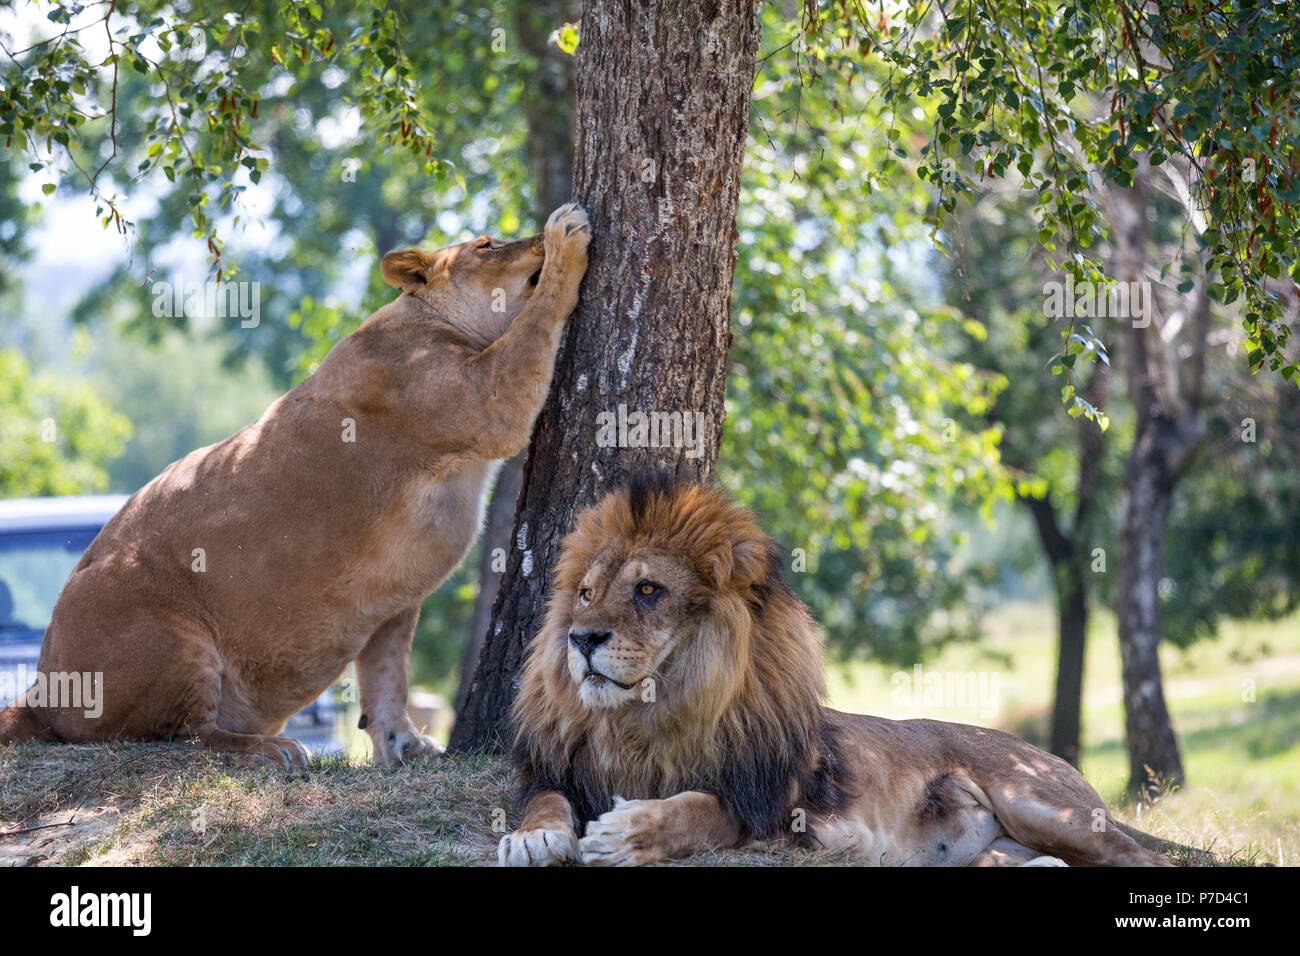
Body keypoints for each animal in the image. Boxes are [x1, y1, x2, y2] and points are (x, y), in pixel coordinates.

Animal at [0, 204, 591, 767]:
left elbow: (387, 675)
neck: (431, 321)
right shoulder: (480, 399)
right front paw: (565, 235)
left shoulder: (393, 597)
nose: (532, 237)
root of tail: (40, 692)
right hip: (170, 635)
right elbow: (537, 322)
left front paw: (402, 744)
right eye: (487, 245)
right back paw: (270, 750)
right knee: (185, 737)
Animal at [500, 473, 1176, 866]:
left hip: (1040, 802)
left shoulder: (771, 806)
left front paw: (626, 832)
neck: (644, 720)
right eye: (586, 594)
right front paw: (533, 838)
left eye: (647, 590)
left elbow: (696, 810)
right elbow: (546, 800)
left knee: (1144, 861)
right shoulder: (559, 767)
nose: (582, 638)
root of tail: (1043, 753)